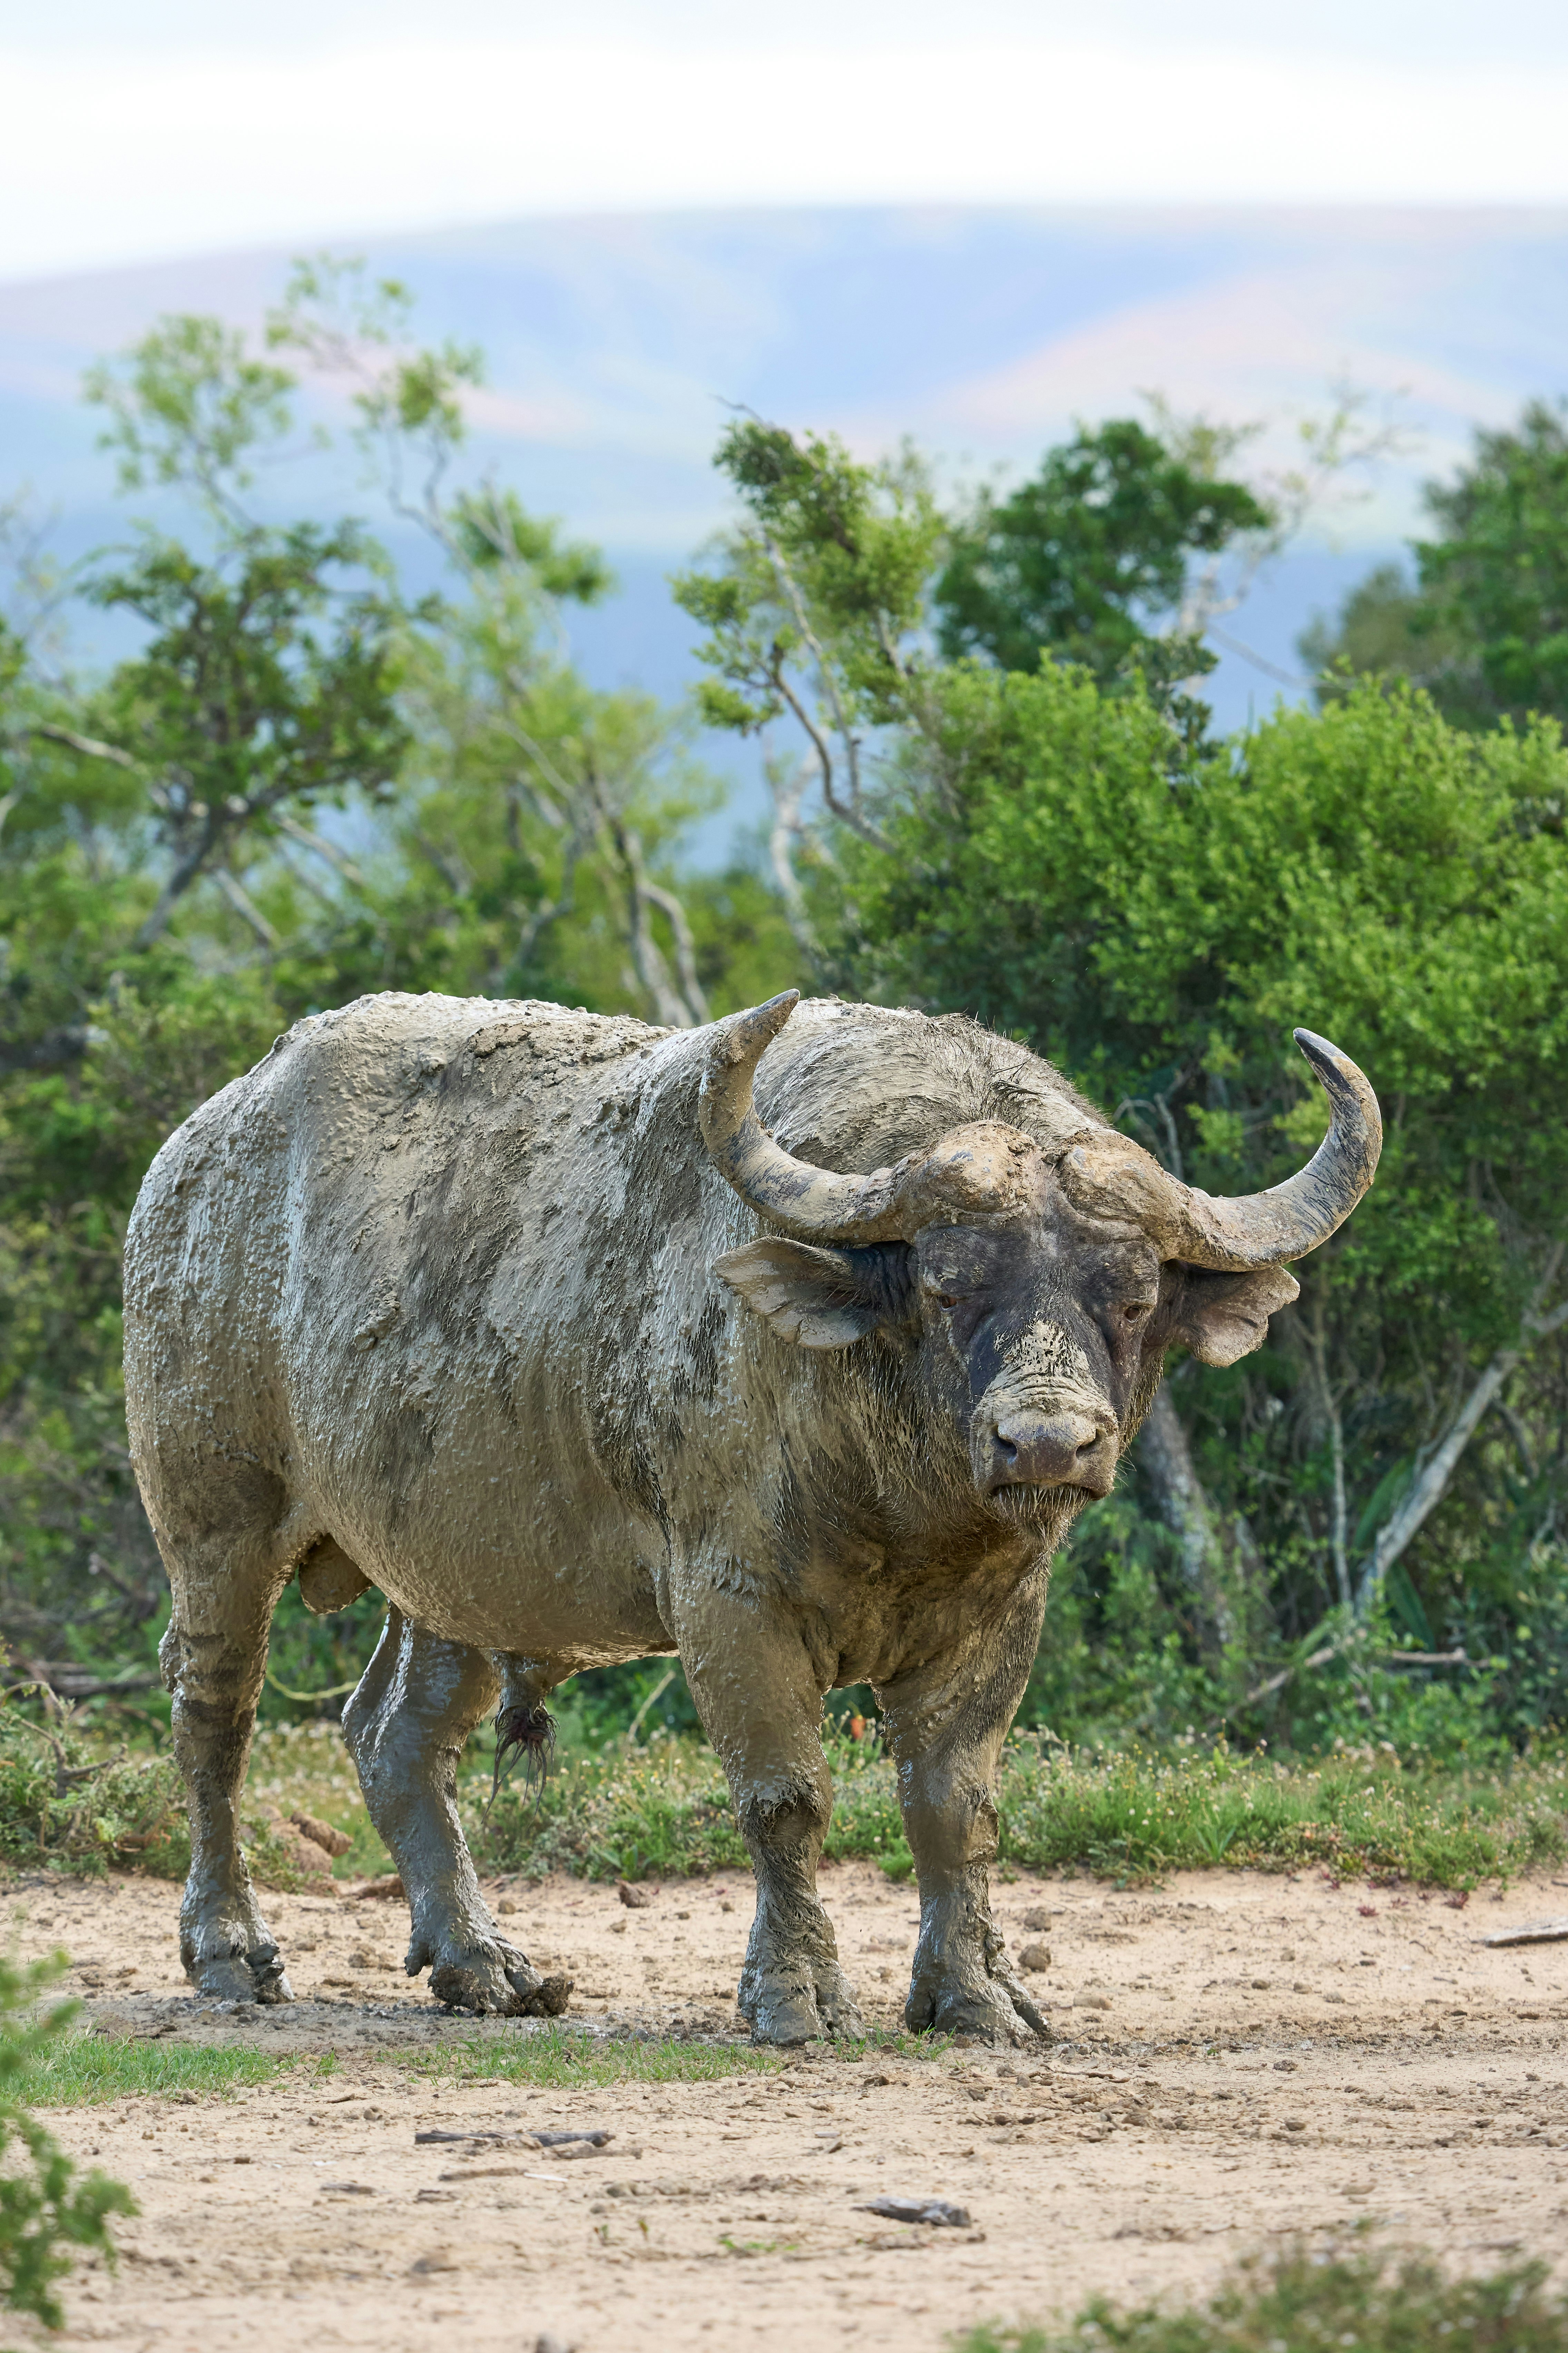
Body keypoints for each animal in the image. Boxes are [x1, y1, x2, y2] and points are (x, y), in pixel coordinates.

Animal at [124, 988, 1379, 2044]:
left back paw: (482, 1964)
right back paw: (230, 1951)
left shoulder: (1000, 1620)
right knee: (215, 1716)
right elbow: (787, 1797)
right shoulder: (731, 1601)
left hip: (454, 1571)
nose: (1045, 1441)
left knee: (395, 1732)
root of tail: (195, 1152)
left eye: (1128, 1294)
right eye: (949, 1282)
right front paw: (797, 1993)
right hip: (215, 1520)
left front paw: (974, 1994)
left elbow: (954, 1806)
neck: (901, 1501)